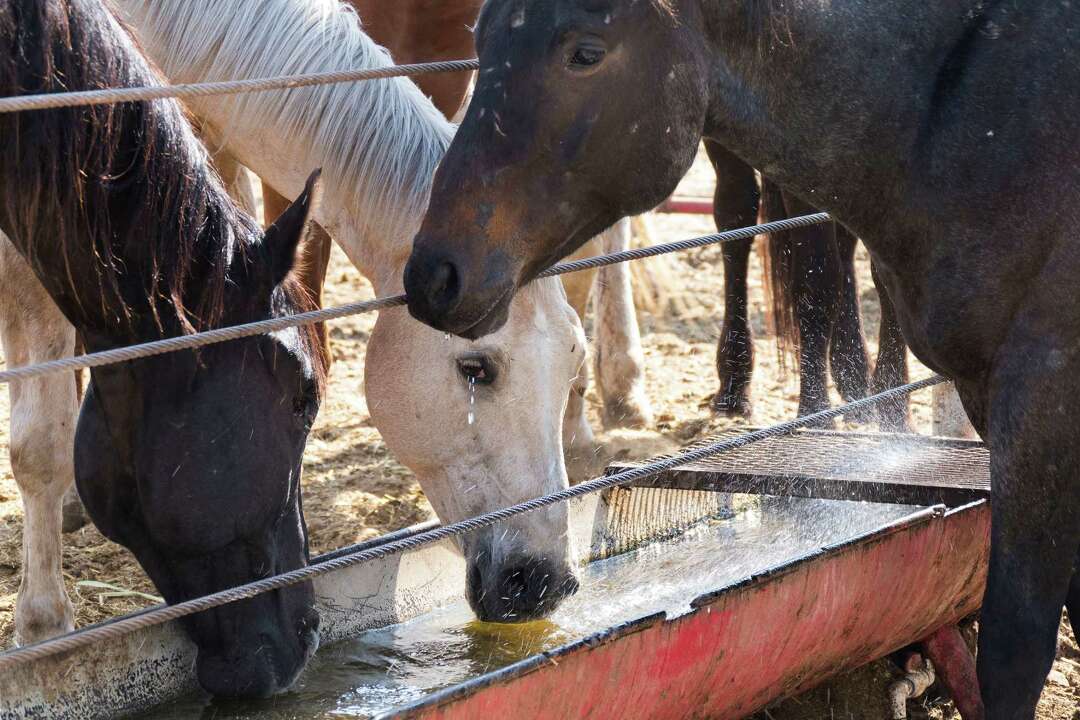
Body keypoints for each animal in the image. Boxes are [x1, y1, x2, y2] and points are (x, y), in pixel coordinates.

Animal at [404, 1, 1080, 716]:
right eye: (480, 39)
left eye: (585, 53)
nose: (434, 273)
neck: (964, 114)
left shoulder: (1041, 405)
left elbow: (1014, 649)